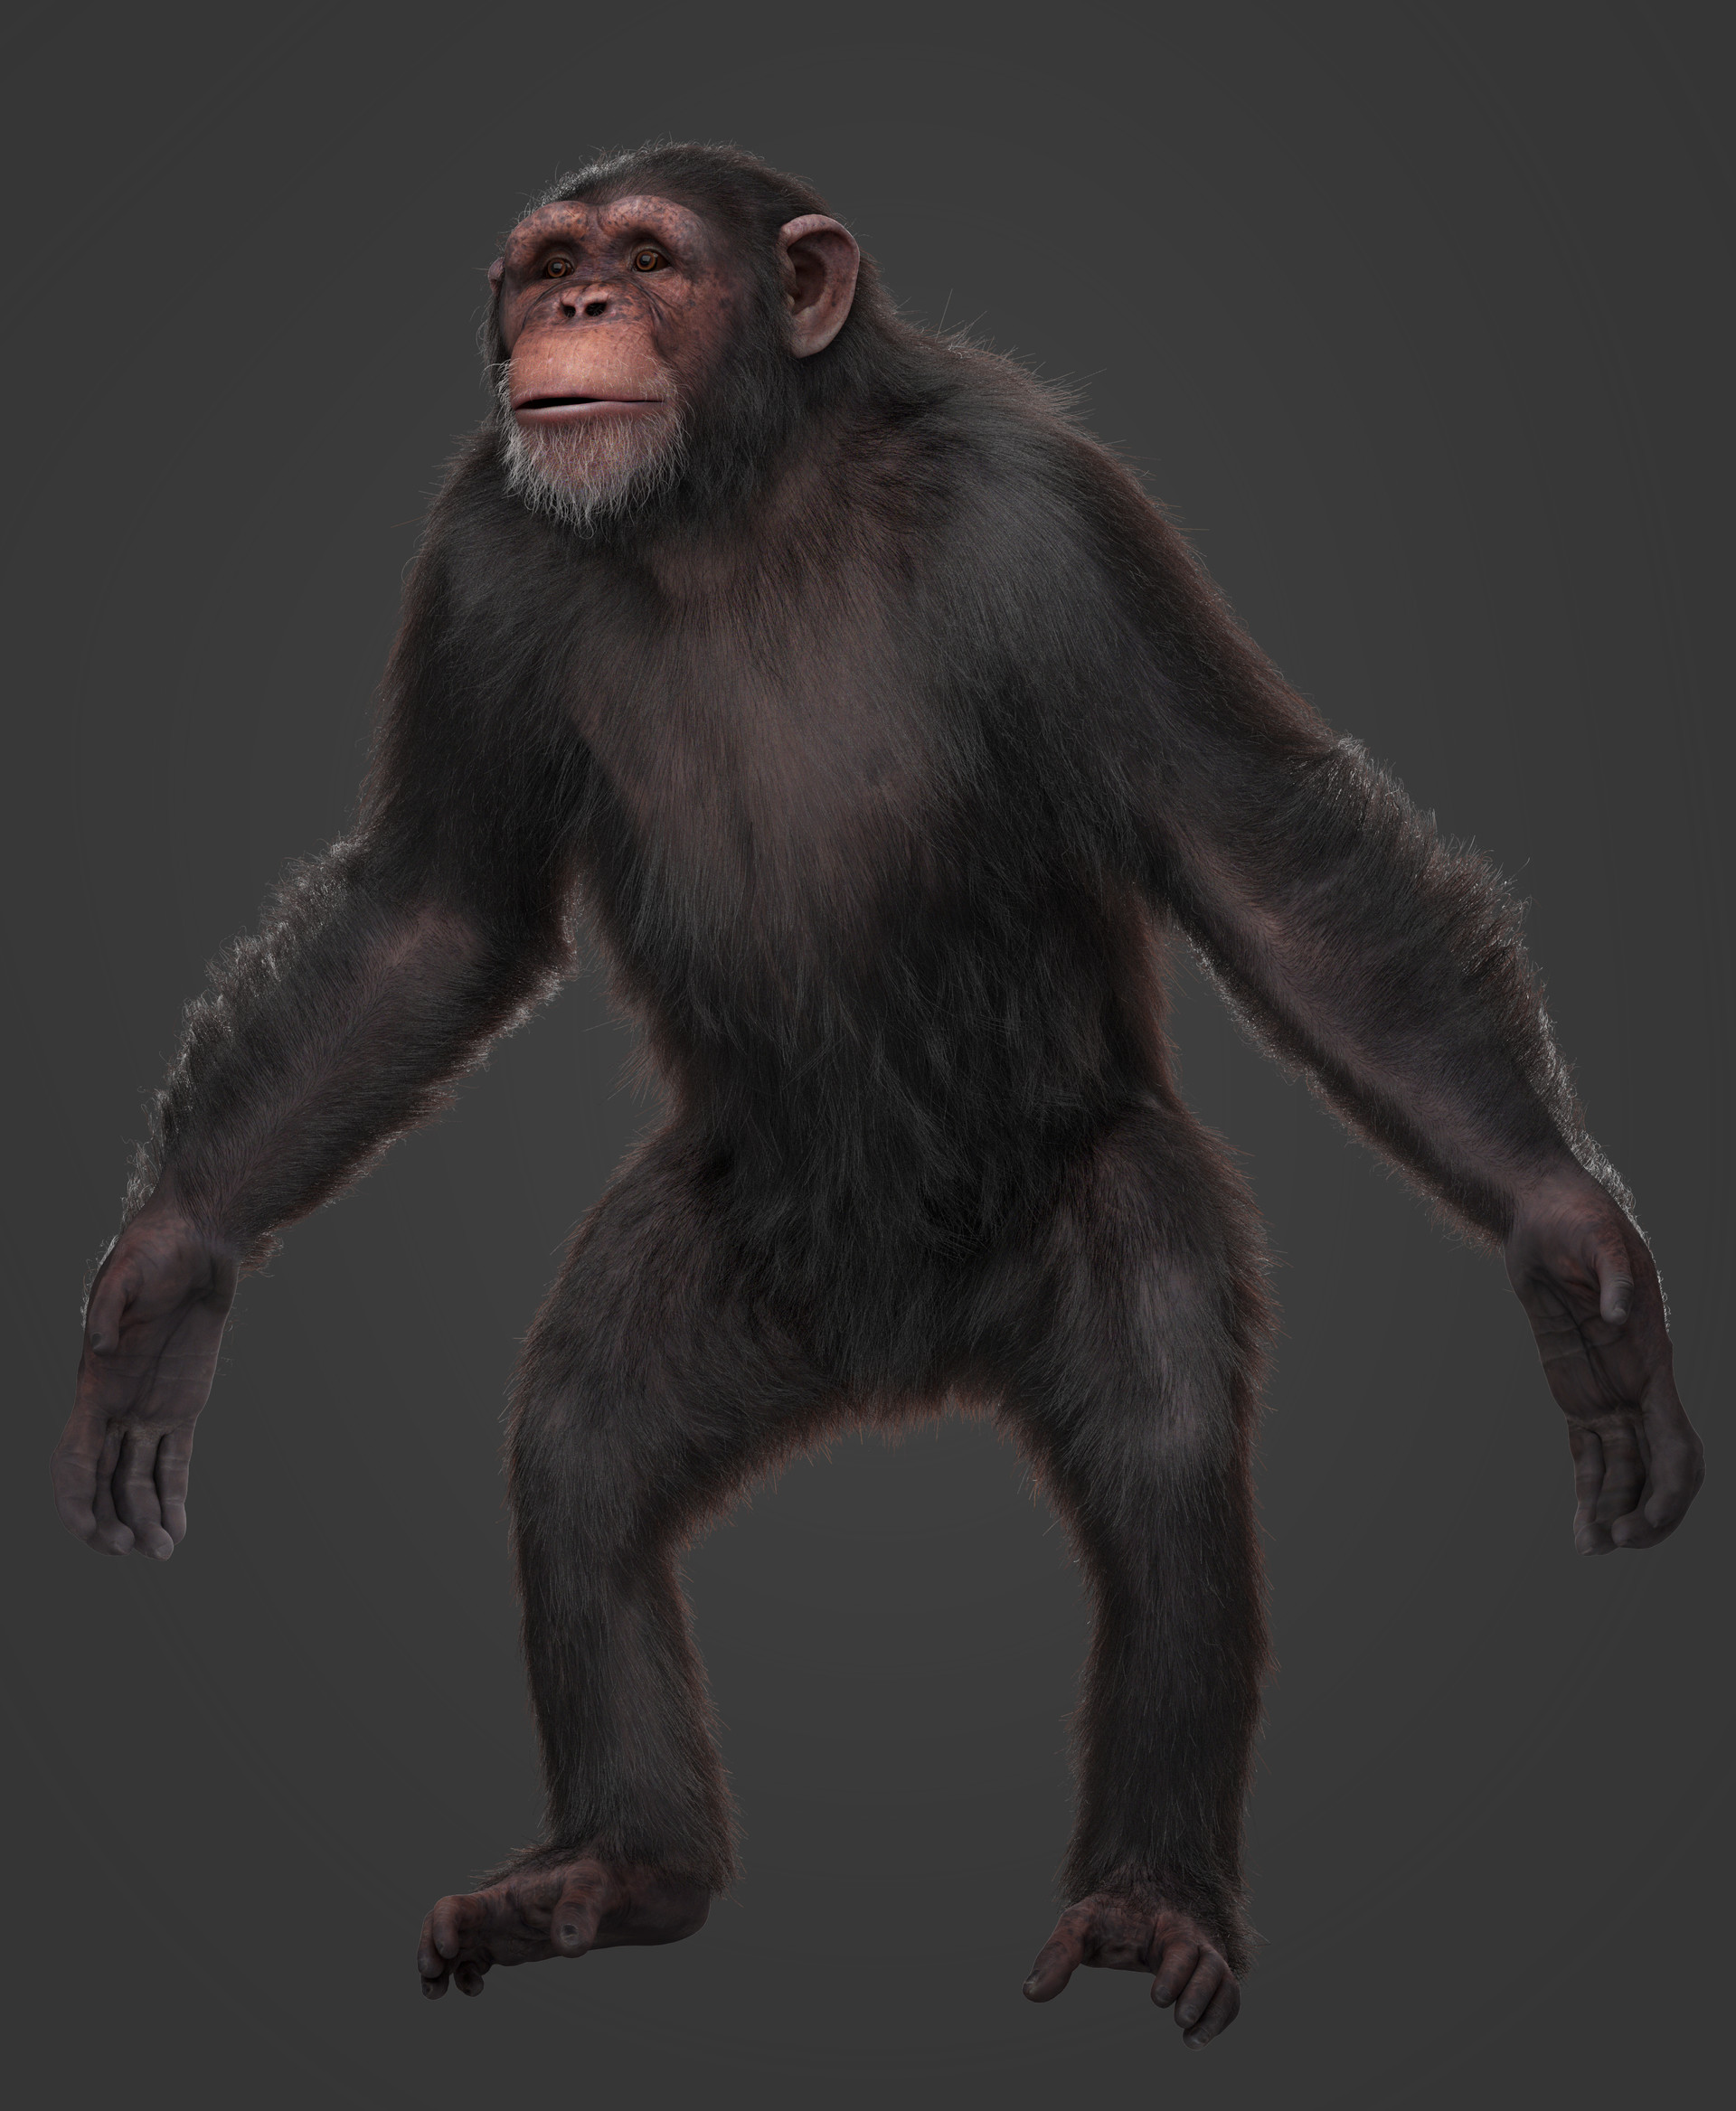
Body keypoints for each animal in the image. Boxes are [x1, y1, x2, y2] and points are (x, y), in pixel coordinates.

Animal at [52, 142, 1703, 2047]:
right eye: (547, 261)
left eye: (647, 258)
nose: (575, 305)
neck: (739, 498)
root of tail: (901, 1351)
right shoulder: (478, 551)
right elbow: (431, 915)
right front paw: (163, 1288)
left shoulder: (1061, 527)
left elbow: (1255, 852)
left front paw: (1575, 1258)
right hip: (718, 1258)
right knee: (583, 1454)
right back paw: (617, 1869)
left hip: (1092, 1200)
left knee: (1163, 1449)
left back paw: (1147, 1898)